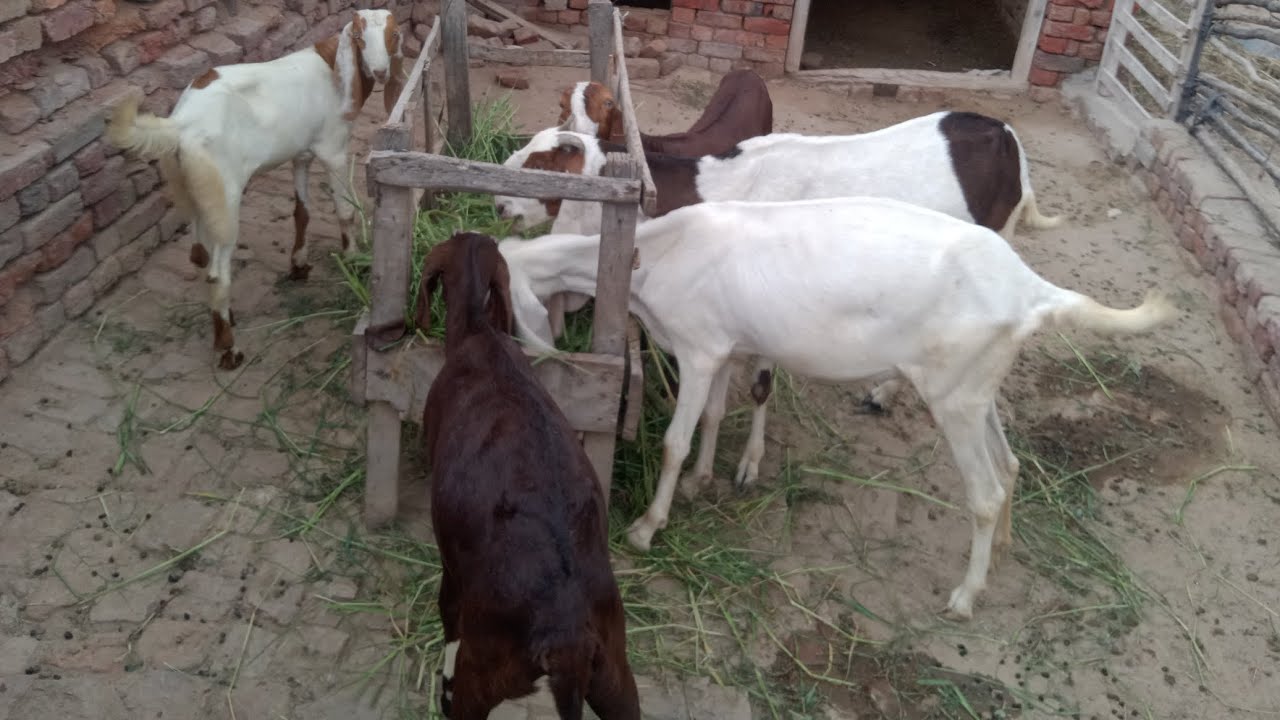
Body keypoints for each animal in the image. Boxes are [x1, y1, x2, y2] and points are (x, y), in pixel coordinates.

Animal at [105, 9, 405, 370]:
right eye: (359, 37)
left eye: (392, 35)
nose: (380, 70)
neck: (330, 63)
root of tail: (181, 124)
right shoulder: (333, 149)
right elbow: (344, 209)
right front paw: (354, 261)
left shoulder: (300, 155)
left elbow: (302, 212)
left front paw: (299, 265)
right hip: (226, 197)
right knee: (217, 274)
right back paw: (228, 349)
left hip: (199, 193)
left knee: (199, 254)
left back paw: (226, 319)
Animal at [418, 232, 641, 720]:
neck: (479, 333)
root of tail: (568, 638)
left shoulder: (453, 572)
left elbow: (448, 618)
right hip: (616, 674)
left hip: (484, 673)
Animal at [497, 197, 1175, 620]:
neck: (658, 255)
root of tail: (1031, 290)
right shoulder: (721, 347)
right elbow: (713, 419)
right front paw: (701, 483)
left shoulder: (697, 348)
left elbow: (673, 442)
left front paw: (645, 526)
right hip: (975, 387)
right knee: (1009, 466)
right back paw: (1003, 549)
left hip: (953, 398)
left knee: (982, 492)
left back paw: (965, 595)